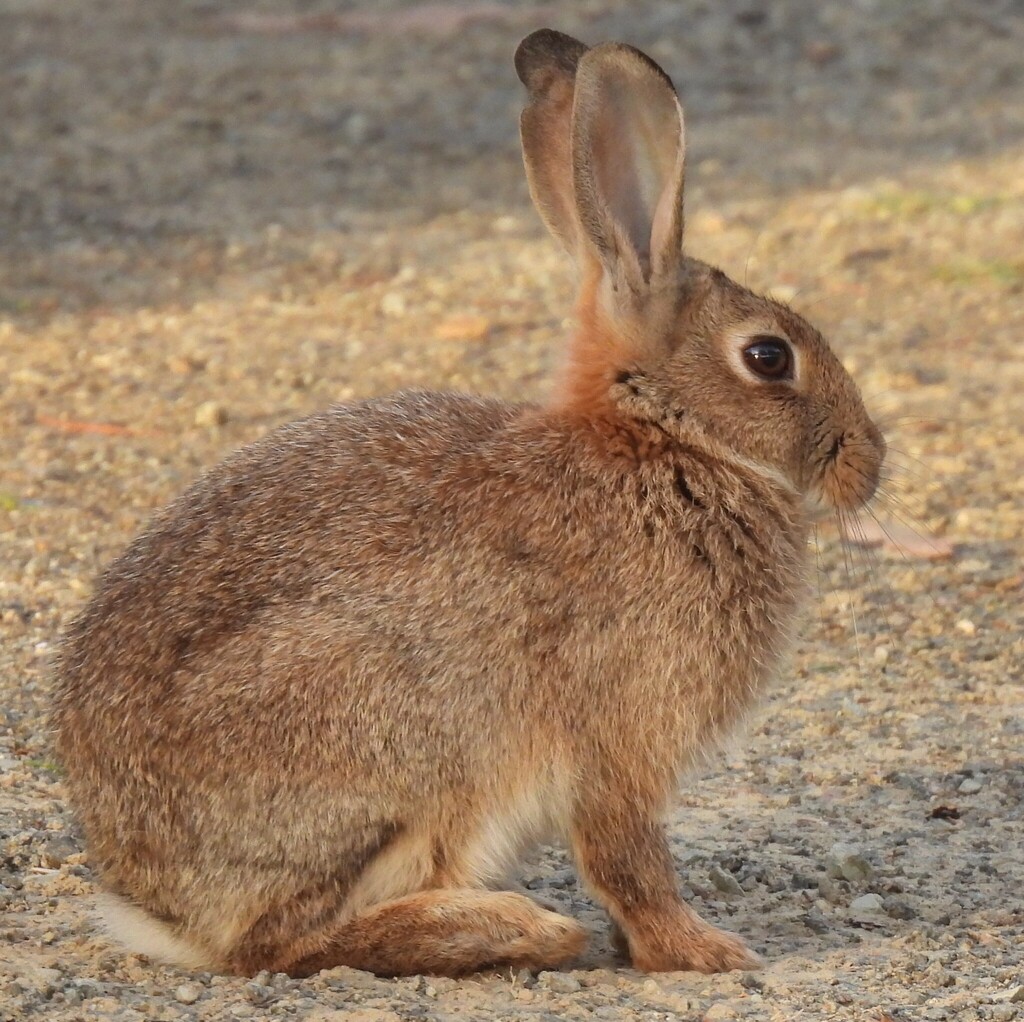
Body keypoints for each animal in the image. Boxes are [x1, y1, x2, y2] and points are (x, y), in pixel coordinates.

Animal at [52, 29, 885, 979]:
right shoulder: (621, 741)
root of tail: (159, 907)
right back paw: (517, 929)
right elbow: (628, 858)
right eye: (768, 357)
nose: (870, 462)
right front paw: (705, 952)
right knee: (278, 942)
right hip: (401, 742)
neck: (667, 443)